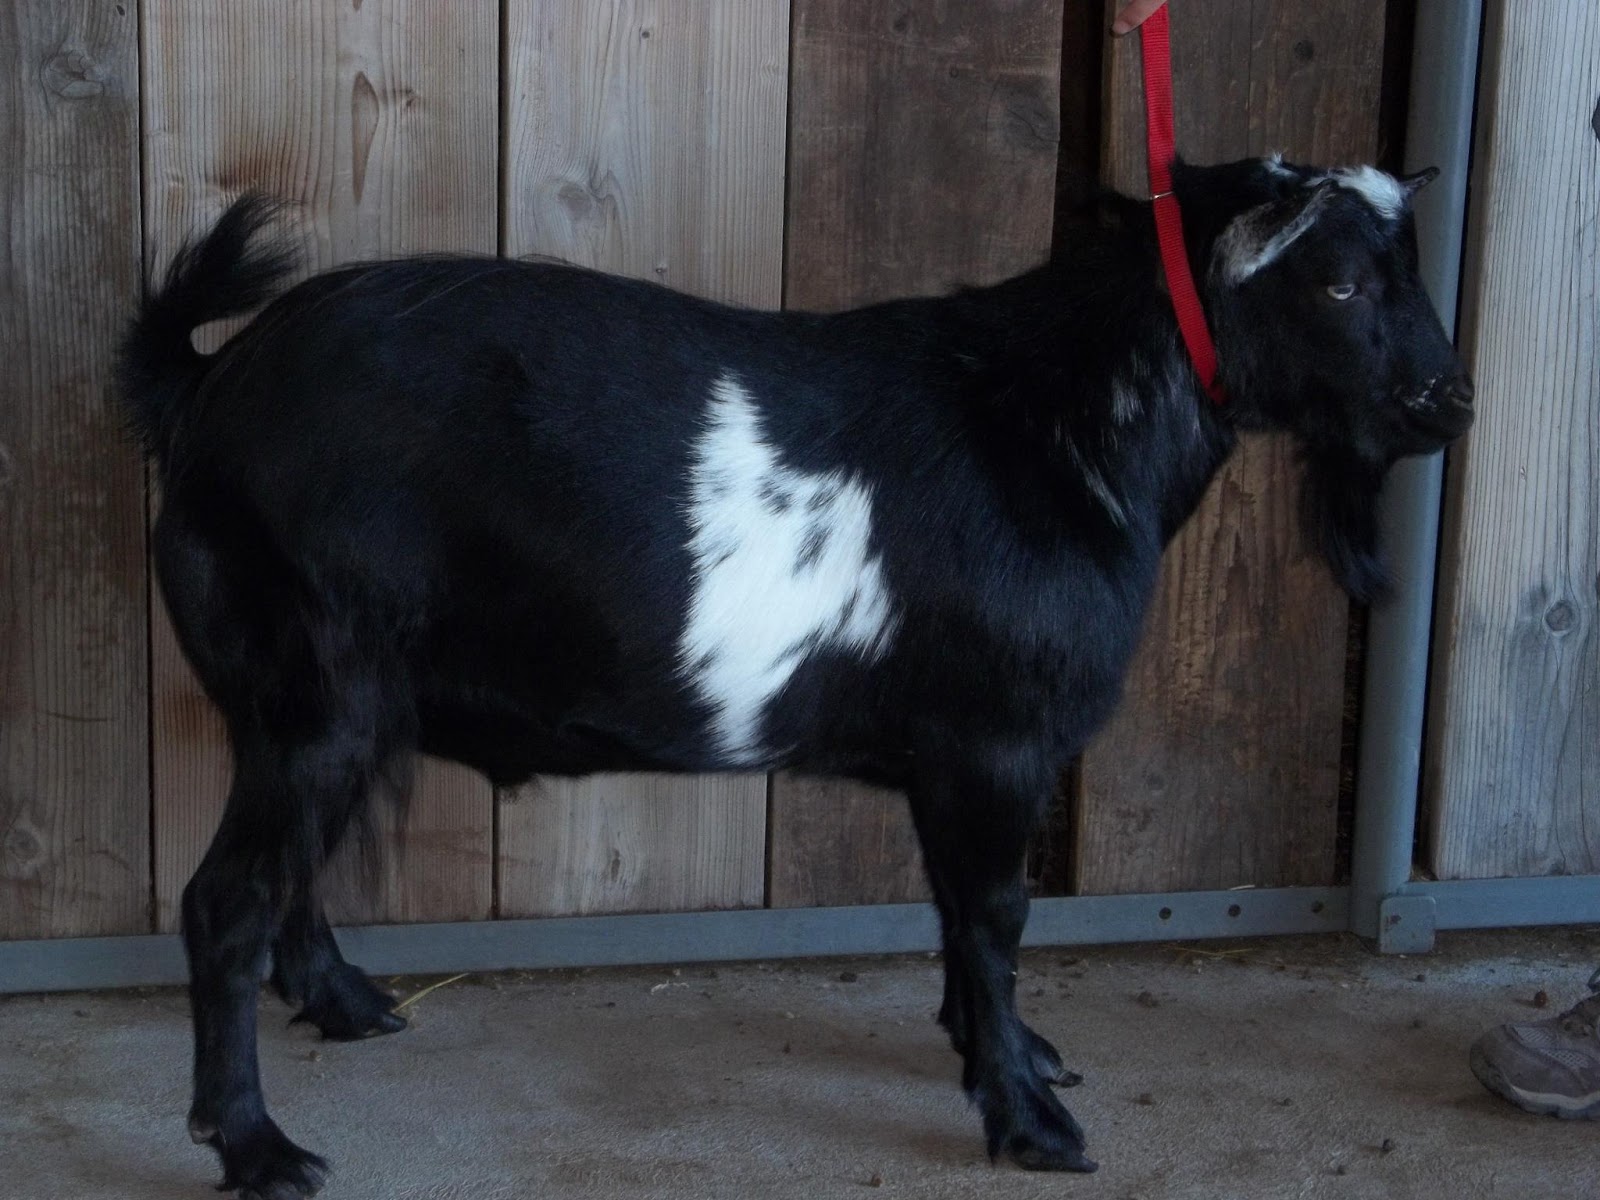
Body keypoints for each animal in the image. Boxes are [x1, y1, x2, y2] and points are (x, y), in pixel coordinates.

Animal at [118, 155, 1473, 1197]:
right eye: (1341, 280)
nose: (1447, 401)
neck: (1056, 420)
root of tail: (210, 387)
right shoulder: (994, 740)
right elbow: (994, 914)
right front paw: (1029, 1119)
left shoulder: (952, 754)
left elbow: (957, 913)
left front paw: (1005, 1053)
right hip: (318, 686)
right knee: (224, 902)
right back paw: (257, 1148)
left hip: (312, 707)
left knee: (290, 867)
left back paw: (344, 1003)